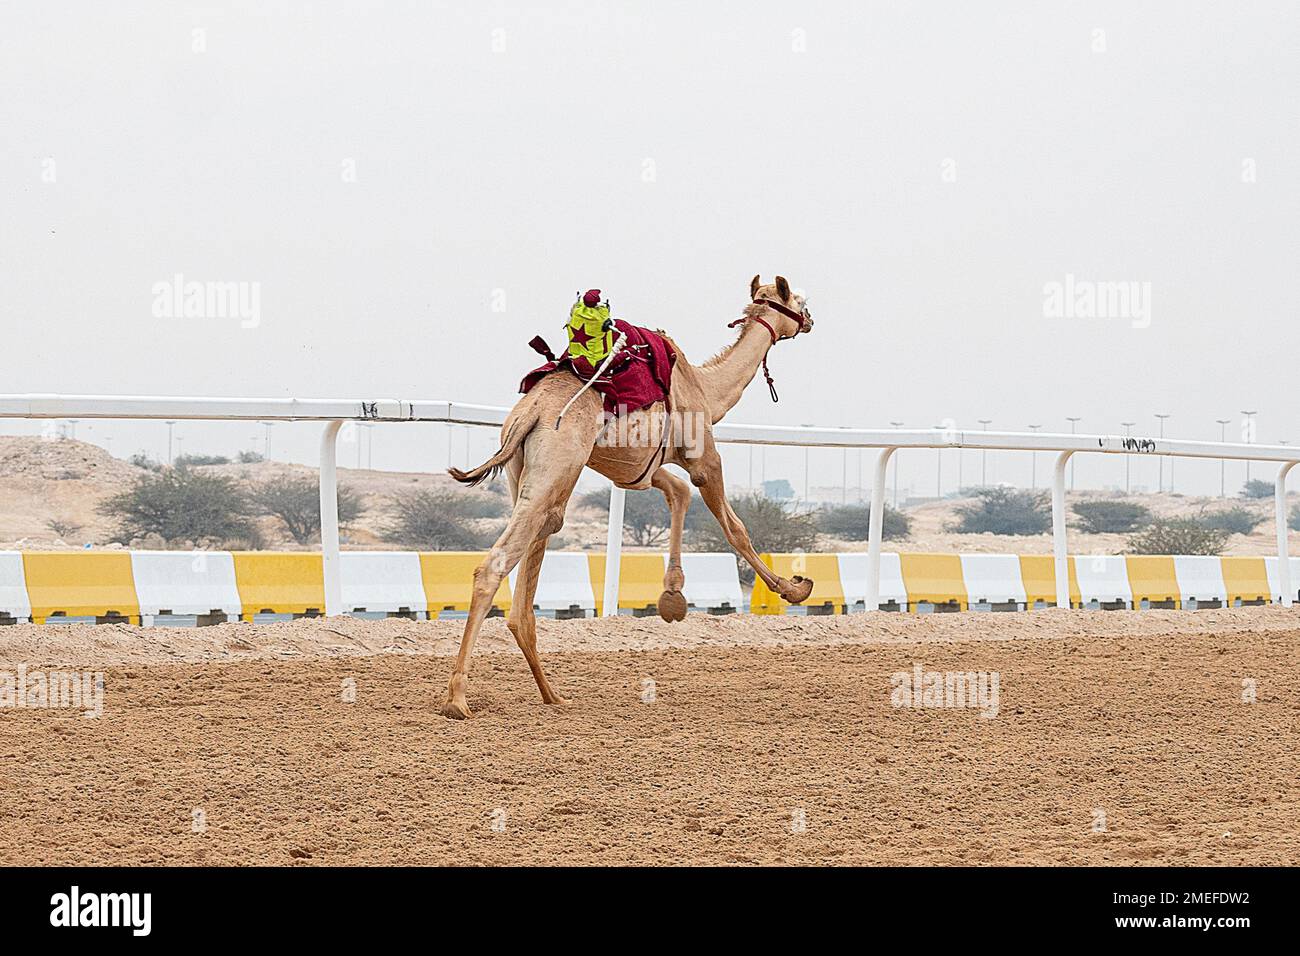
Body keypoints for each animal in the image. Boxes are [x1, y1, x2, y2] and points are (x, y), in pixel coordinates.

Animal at [441, 275, 815, 718]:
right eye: (798, 300)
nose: (810, 320)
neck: (706, 389)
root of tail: (528, 414)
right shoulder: (704, 456)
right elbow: (734, 528)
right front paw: (794, 587)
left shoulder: (640, 468)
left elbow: (679, 493)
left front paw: (672, 597)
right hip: (557, 469)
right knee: (498, 563)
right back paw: (458, 700)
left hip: (526, 475)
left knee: (529, 572)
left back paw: (553, 694)